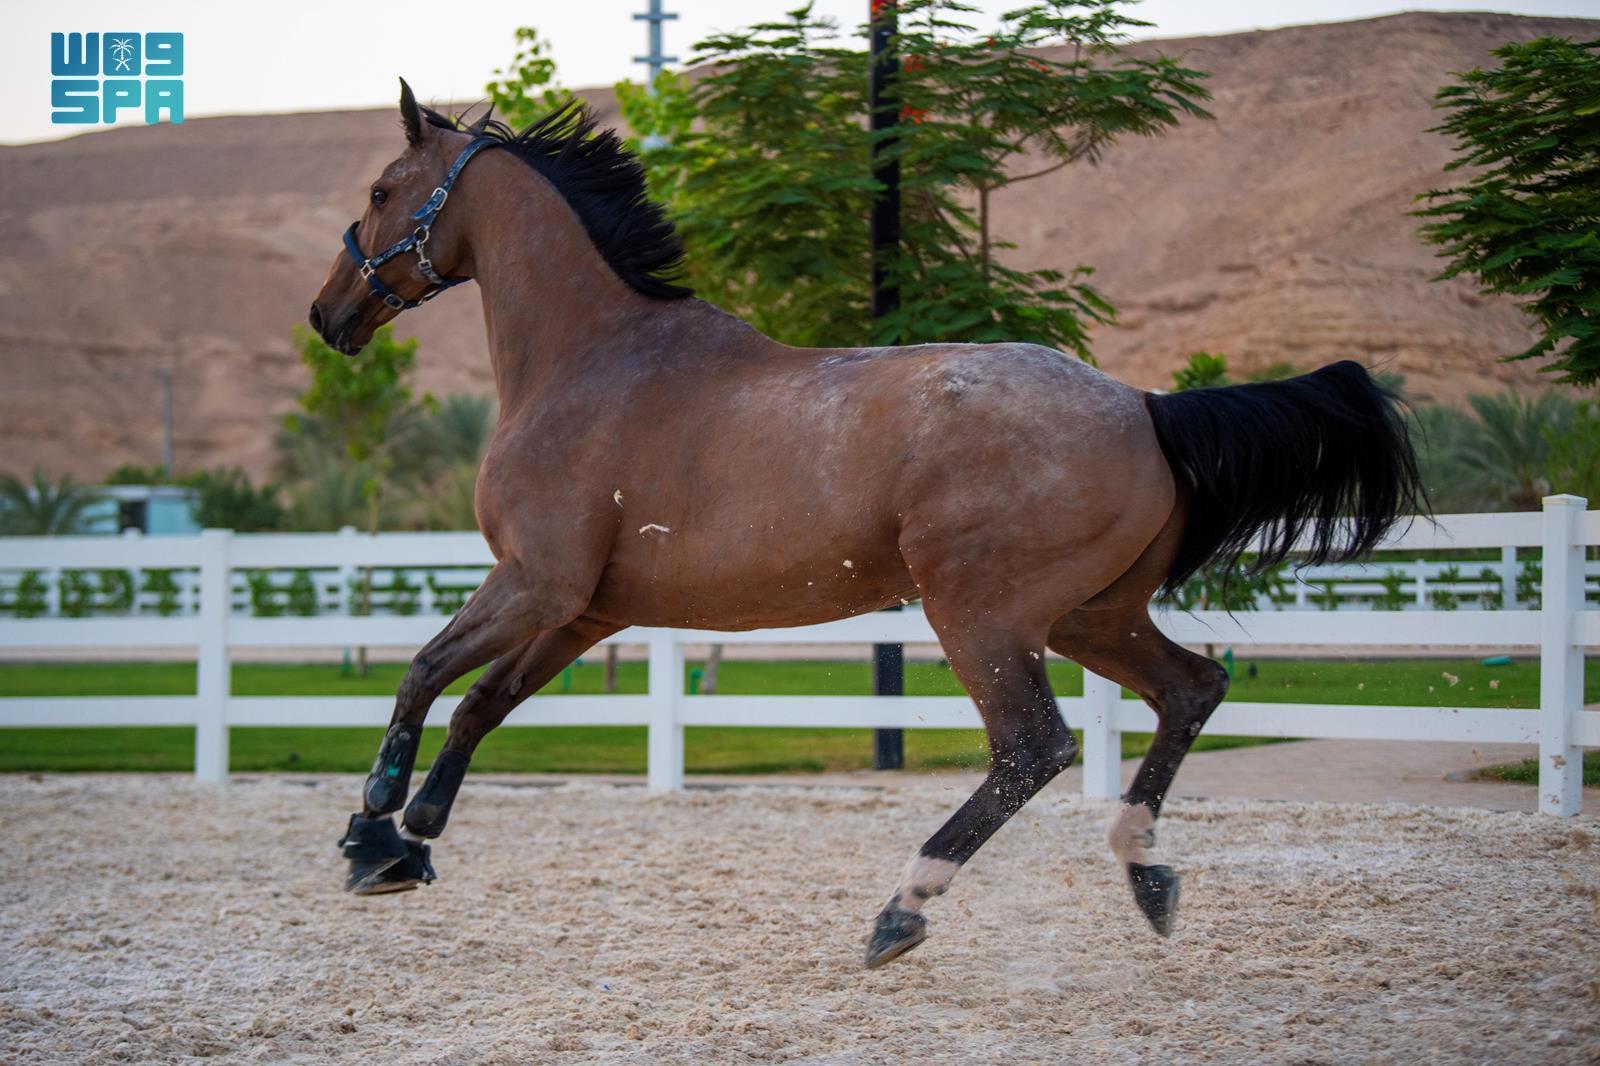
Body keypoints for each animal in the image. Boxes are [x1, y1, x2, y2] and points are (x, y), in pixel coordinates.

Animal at [310, 80, 1424, 969]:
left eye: (380, 191)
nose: (328, 316)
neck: (591, 359)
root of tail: (1145, 406)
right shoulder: (587, 609)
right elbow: (480, 704)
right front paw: (416, 837)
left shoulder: (534, 581)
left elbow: (422, 674)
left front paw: (373, 833)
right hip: (1091, 616)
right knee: (1191, 689)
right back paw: (1145, 875)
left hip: (981, 616)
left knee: (1034, 748)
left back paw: (903, 907)